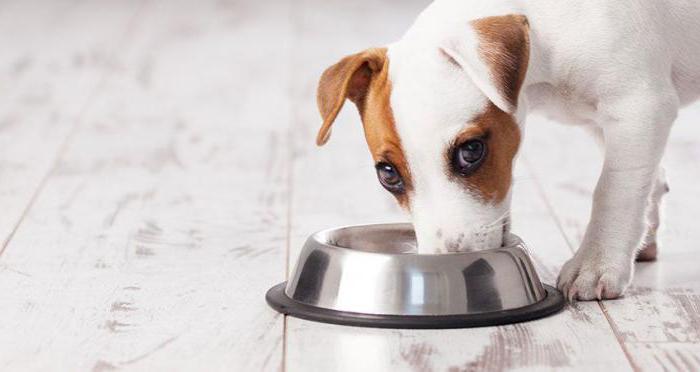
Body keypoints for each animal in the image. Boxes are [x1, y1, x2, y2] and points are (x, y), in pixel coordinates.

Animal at [314, 0, 700, 300]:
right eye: (388, 174)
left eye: (471, 151)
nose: (447, 260)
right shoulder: (605, 122)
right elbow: (646, 179)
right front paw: (642, 234)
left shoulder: (639, 107)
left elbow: (615, 190)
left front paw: (596, 262)